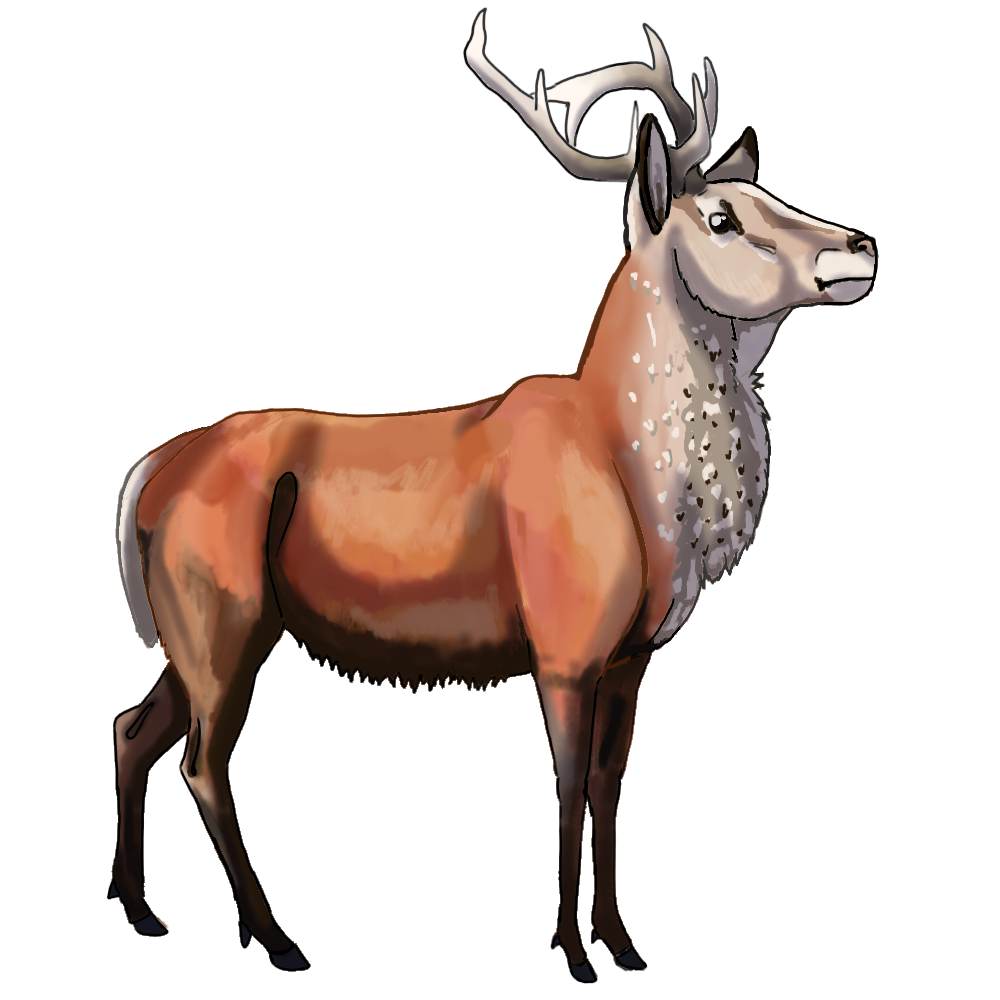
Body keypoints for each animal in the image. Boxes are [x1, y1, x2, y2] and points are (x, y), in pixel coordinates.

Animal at [110, 10, 876, 981]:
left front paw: (625, 944)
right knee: (203, 760)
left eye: (767, 192)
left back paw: (146, 913)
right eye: (722, 216)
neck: (647, 492)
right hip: (221, 609)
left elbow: (608, 786)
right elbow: (565, 790)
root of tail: (151, 470)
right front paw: (574, 952)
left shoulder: (632, 655)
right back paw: (277, 937)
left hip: (194, 625)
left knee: (134, 728)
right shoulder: (563, 639)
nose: (860, 244)